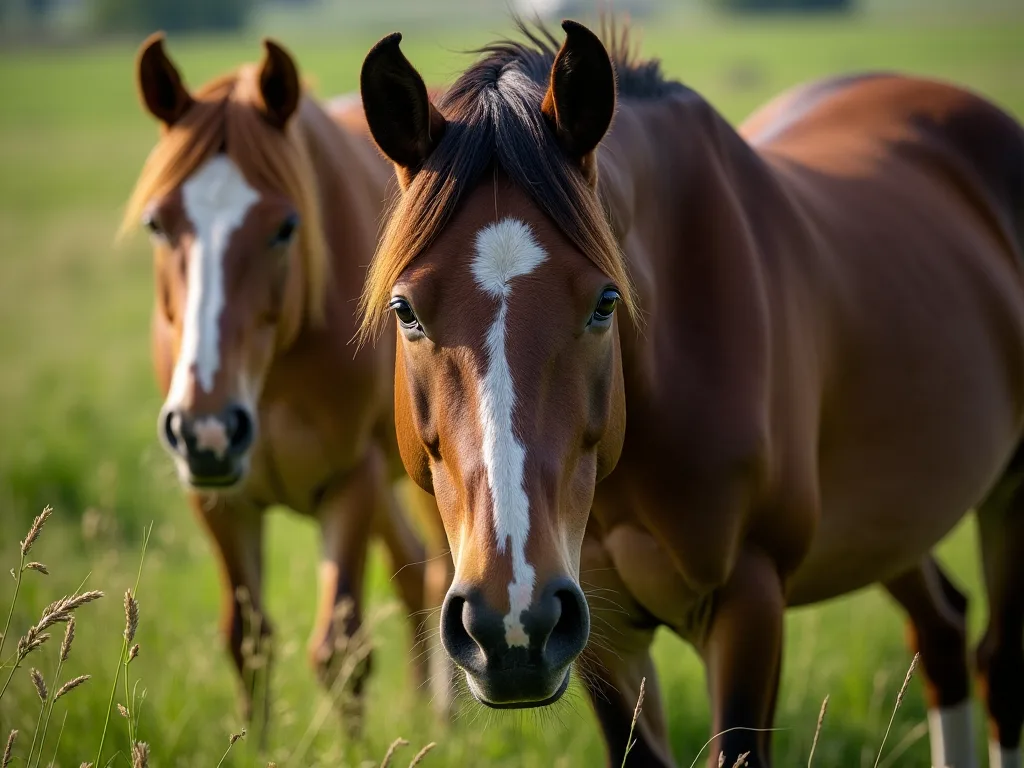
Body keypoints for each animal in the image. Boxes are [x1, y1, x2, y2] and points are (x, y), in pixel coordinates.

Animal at [122, 34, 452, 738]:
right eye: (158, 225)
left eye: (284, 227)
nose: (208, 428)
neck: (267, 376)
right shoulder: (216, 497)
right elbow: (247, 640)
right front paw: (254, 745)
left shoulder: (351, 481)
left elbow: (341, 650)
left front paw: (355, 748)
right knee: (415, 573)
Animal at [355, 18, 1024, 768]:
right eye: (406, 311)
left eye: (606, 302)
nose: (510, 622)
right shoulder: (600, 627)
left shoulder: (750, 598)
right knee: (941, 631)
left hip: (1009, 494)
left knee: (999, 666)